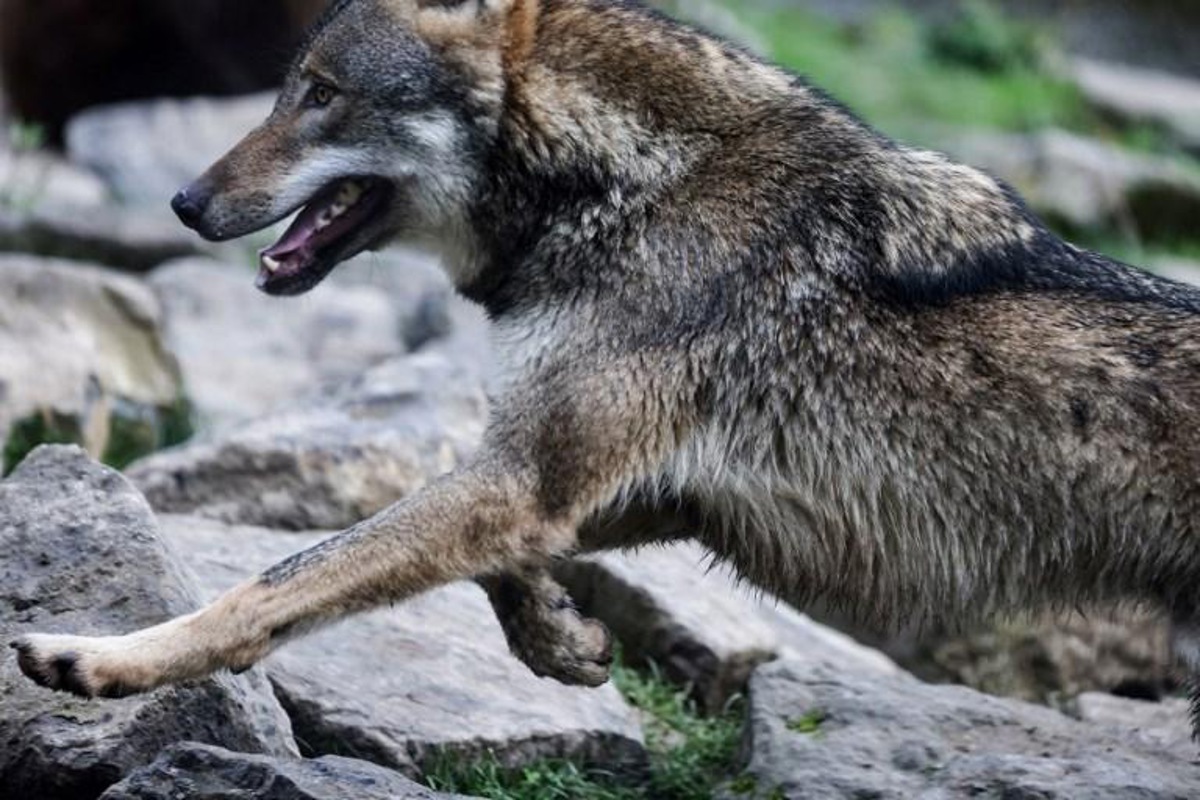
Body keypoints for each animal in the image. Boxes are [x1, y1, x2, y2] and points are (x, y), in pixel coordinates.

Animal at [13, 0, 1200, 737]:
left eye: (320, 93)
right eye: (287, 89)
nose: (182, 204)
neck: (632, 186)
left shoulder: (534, 474)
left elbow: (284, 574)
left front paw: (100, 658)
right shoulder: (611, 483)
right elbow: (493, 564)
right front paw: (563, 644)